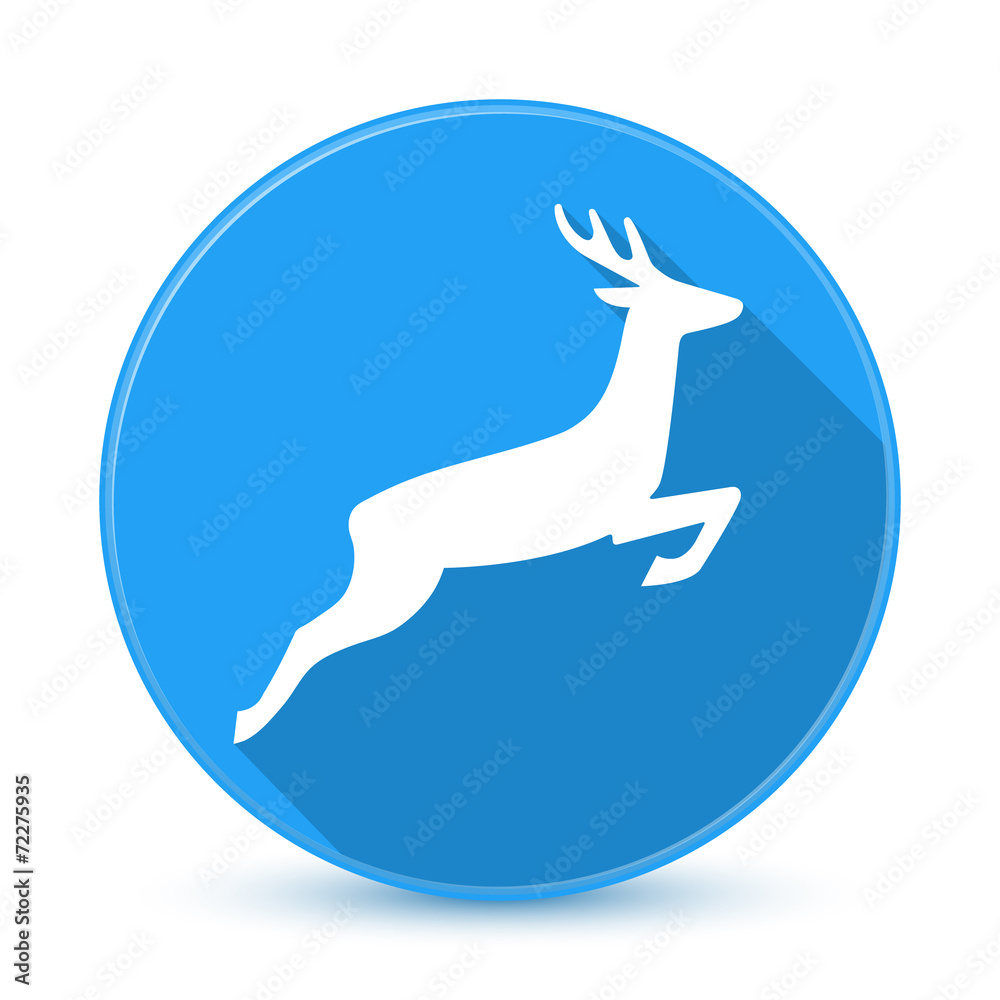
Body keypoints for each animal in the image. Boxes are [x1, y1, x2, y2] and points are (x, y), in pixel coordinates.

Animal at [233, 205, 744, 743]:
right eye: (677, 293)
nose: (734, 303)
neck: (632, 436)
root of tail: (354, 521)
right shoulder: (620, 518)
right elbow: (722, 497)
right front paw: (668, 566)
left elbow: (725, 493)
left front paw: (669, 564)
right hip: (397, 586)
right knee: (309, 633)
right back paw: (248, 723)